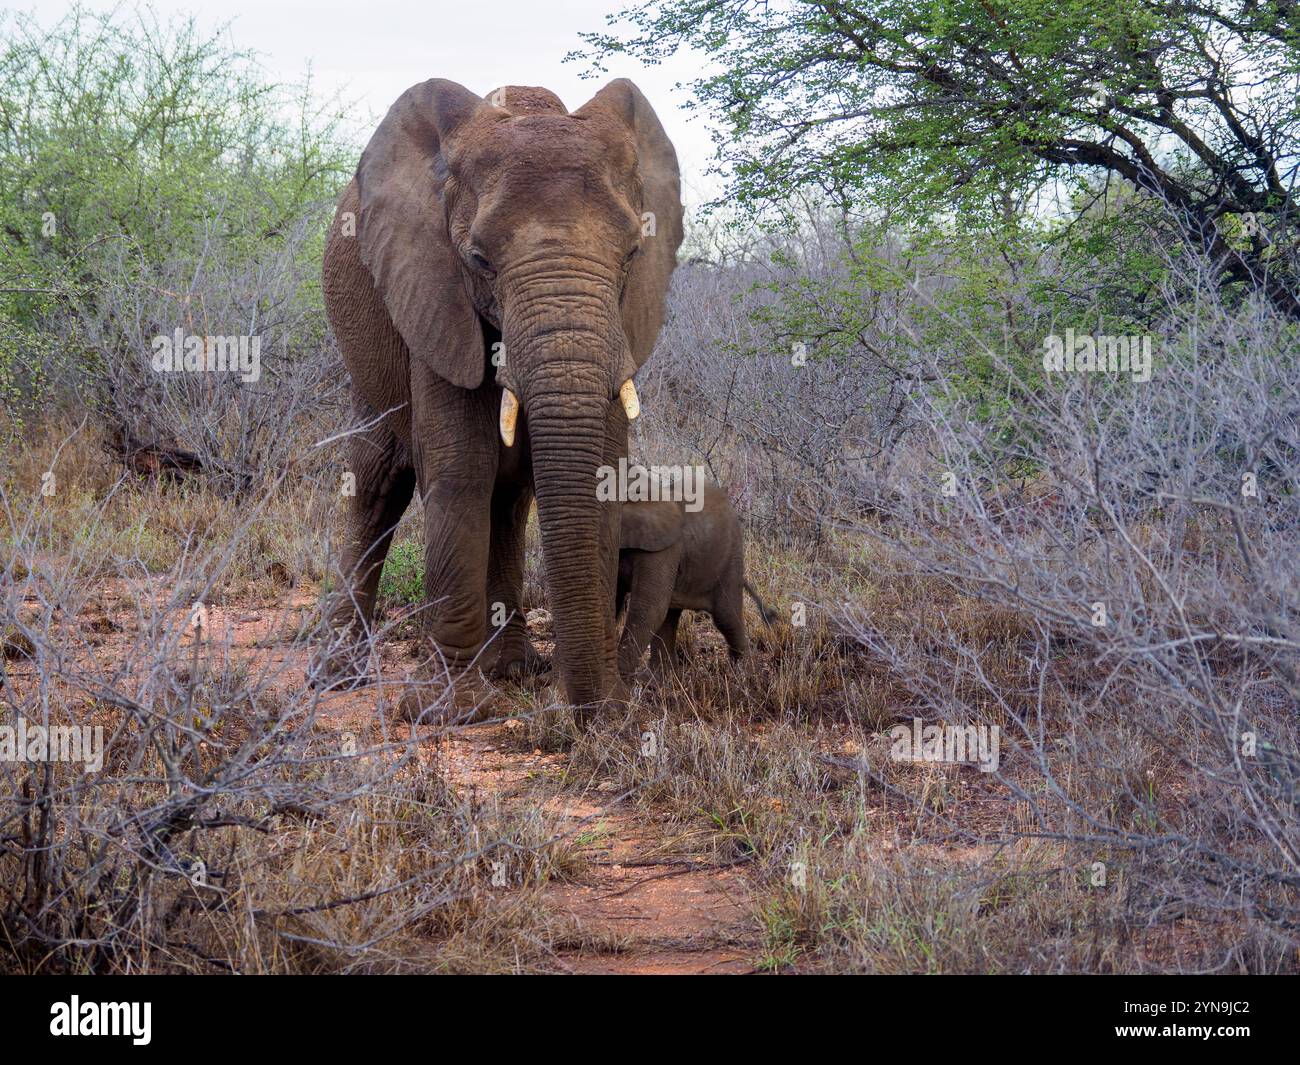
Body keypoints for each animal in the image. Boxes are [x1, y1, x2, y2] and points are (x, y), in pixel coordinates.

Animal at [309, 78, 683, 722]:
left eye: (634, 254)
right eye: (479, 259)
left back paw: (512, 667)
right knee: (378, 479)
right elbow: (460, 466)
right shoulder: (434, 291)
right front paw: (451, 710)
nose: (590, 711)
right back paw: (337, 675)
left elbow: (600, 471)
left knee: (508, 497)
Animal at [616, 481, 775, 680]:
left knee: (726, 616)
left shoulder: (663, 548)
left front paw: (618, 683)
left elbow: (647, 608)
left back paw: (744, 676)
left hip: (730, 557)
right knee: (669, 616)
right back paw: (656, 682)